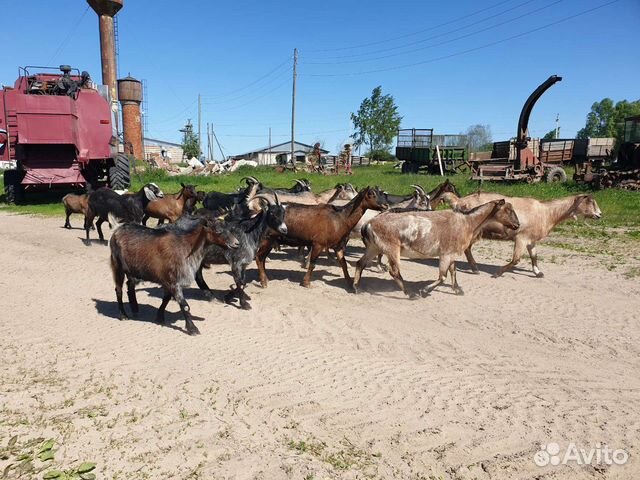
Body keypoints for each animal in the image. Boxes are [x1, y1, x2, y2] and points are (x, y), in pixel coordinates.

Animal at [109, 215, 239, 335]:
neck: (186, 247)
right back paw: (123, 315)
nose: (236, 243)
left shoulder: (168, 281)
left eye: (229, 229)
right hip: (117, 266)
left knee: (129, 285)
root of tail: (117, 229)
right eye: (218, 230)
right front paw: (192, 329)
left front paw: (160, 317)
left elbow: (166, 299)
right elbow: (185, 305)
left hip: (133, 270)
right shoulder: (174, 281)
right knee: (118, 290)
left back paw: (135, 308)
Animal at [255, 186, 389, 290]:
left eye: (381, 192)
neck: (340, 218)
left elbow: (343, 263)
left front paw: (350, 283)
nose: (385, 205)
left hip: (271, 240)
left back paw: (265, 278)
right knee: (258, 257)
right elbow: (313, 264)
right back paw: (263, 282)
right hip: (267, 239)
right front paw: (306, 283)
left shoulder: (338, 246)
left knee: (262, 258)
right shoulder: (318, 244)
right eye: (371, 194)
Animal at [354, 200, 520, 297]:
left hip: (374, 247)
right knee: (394, 271)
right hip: (391, 248)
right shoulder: (446, 254)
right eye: (508, 210)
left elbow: (453, 271)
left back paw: (356, 288)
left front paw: (458, 290)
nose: (517, 225)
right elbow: (442, 276)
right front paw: (424, 291)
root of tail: (368, 224)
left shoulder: (451, 253)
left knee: (360, 263)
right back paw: (410, 293)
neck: (467, 222)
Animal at [439, 191, 602, 277]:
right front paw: (498, 272)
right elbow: (516, 259)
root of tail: (459, 201)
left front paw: (538, 272)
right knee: (466, 248)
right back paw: (474, 268)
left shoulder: (531, 240)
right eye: (590, 202)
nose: (600, 215)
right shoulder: (521, 238)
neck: (547, 213)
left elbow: (534, 256)